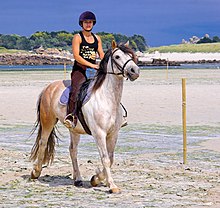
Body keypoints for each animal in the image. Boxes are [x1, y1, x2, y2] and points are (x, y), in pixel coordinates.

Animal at [29, 40, 139, 193]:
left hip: (74, 129)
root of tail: (49, 87)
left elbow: (110, 158)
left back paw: (78, 179)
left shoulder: (113, 133)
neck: (107, 99)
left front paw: (96, 179)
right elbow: (105, 158)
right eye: (117, 56)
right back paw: (36, 172)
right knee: (43, 143)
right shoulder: (99, 133)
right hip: (48, 121)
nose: (135, 71)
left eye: (131, 55)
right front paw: (112, 186)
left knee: (72, 150)